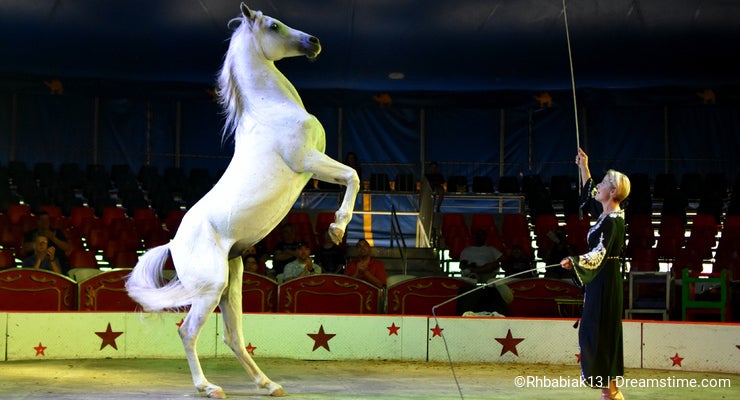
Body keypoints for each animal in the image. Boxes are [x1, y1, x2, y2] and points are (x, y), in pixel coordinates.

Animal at [126, 3, 360, 398]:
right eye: (273, 26)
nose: (313, 42)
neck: (272, 109)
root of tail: (173, 243)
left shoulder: (313, 167)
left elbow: (351, 177)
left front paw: (336, 231)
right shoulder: (306, 161)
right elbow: (352, 176)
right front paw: (335, 231)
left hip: (231, 285)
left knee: (234, 337)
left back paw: (269, 384)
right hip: (211, 289)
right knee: (188, 332)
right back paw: (209, 387)